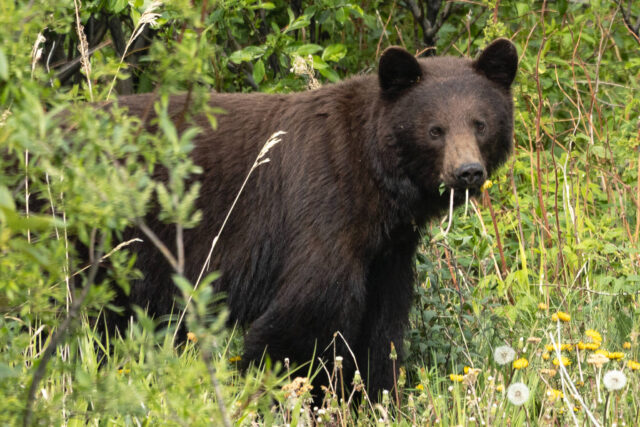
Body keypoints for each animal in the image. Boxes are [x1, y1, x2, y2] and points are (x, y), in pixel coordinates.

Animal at [111, 38, 518, 399]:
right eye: (435, 130)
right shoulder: (322, 206)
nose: (468, 171)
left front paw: (376, 397)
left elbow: (381, 327)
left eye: (480, 124)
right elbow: (307, 313)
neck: (373, 176)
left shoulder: (388, 252)